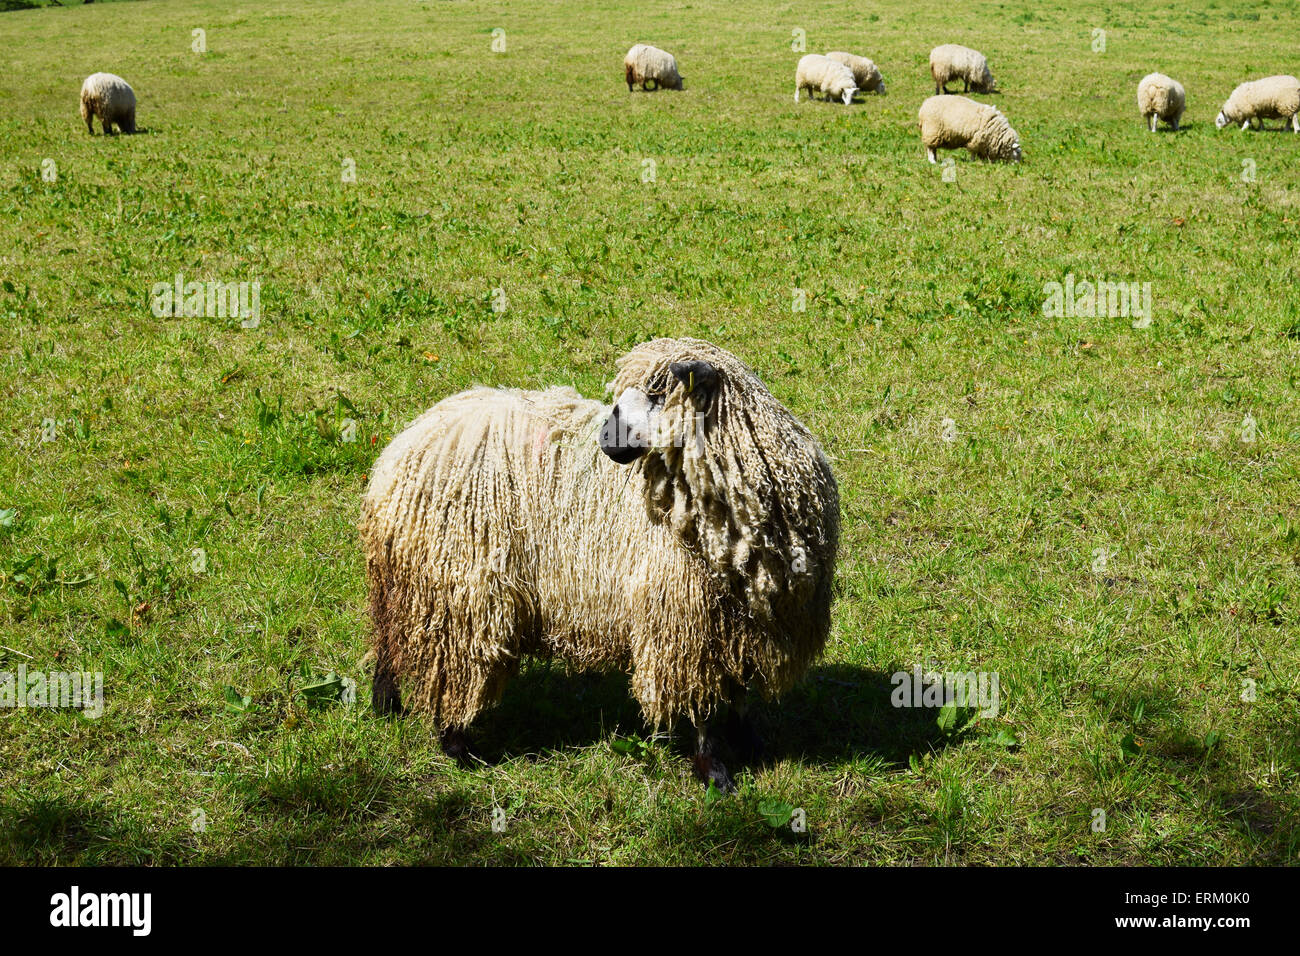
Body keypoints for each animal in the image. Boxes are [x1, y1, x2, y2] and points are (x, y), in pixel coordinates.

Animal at [360, 338, 840, 792]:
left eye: (658, 391)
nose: (606, 439)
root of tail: (402, 450)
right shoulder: (684, 620)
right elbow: (702, 703)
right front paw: (714, 771)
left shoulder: (746, 625)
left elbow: (738, 692)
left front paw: (748, 741)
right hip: (460, 591)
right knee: (453, 664)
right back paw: (458, 746)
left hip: (410, 585)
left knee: (389, 639)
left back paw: (386, 703)